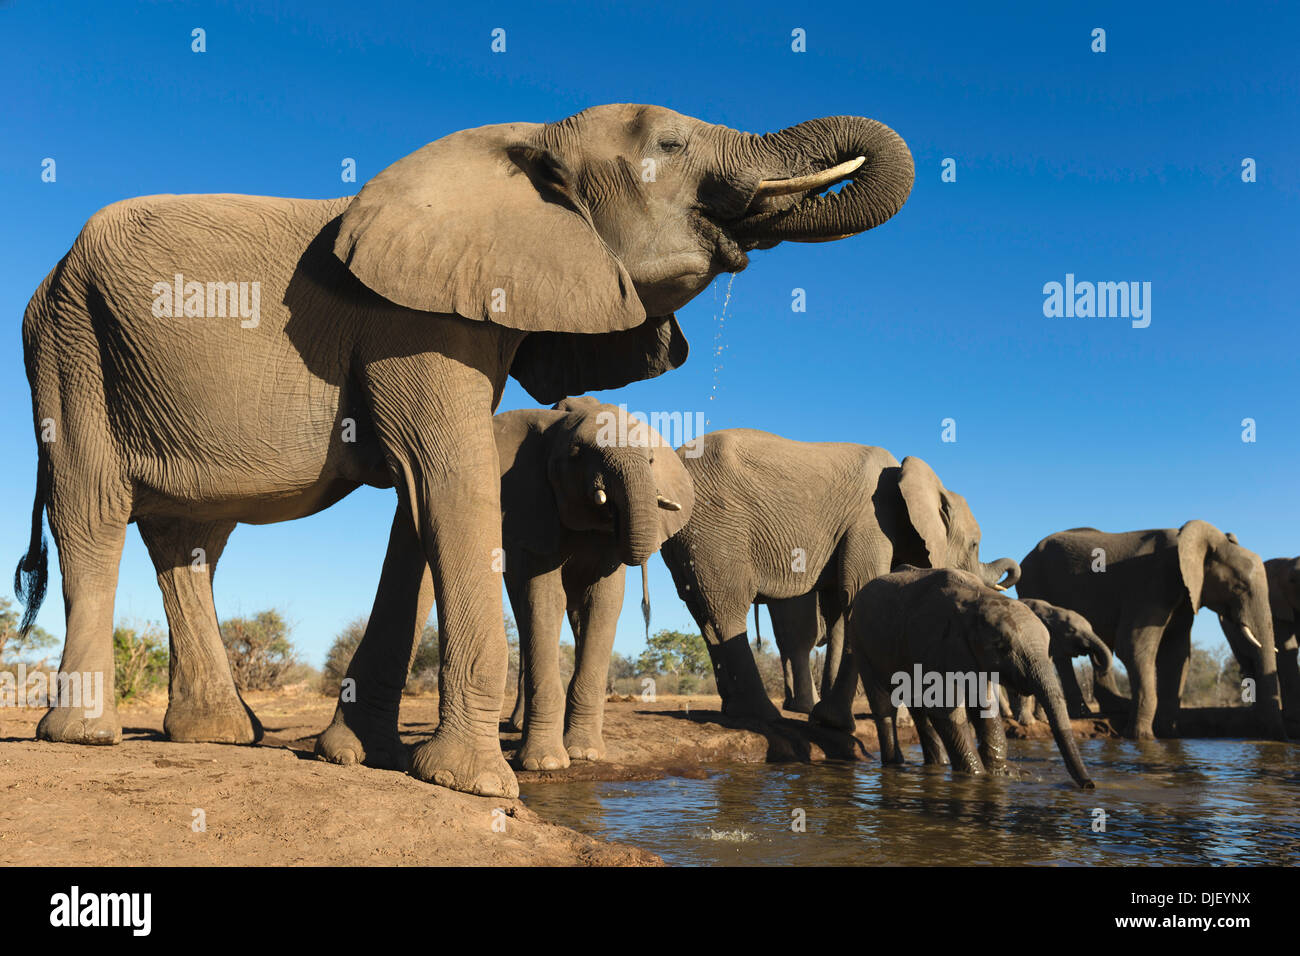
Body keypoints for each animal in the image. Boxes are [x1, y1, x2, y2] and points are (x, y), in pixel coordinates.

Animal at [495, 398, 692, 771]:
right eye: (576, 453)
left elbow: (603, 603)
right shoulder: (537, 515)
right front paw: (545, 763)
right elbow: (544, 600)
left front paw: (585, 754)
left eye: (651, 460)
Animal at [658, 429, 1020, 724]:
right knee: (728, 607)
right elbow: (858, 594)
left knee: (703, 611)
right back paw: (761, 715)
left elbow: (839, 608)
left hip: (687, 533)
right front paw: (835, 722)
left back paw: (736, 710)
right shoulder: (871, 519)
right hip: (715, 525)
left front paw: (828, 717)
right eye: (974, 544)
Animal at [847, 566, 1096, 789]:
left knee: (918, 708)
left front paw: (1006, 773)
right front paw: (978, 776)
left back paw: (938, 765)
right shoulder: (932, 642)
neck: (977, 600)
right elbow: (945, 709)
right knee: (883, 704)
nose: (1089, 785)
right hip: (861, 642)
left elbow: (983, 704)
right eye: (1001, 647)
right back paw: (895, 765)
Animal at [1016, 522, 1286, 741]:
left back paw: (1116, 707)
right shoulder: (1151, 584)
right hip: (1033, 581)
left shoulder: (1182, 597)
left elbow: (1177, 655)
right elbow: (1133, 647)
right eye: (1239, 587)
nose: (1270, 735)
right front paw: (1141, 737)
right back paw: (1084, 713)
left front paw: (1169, 734)